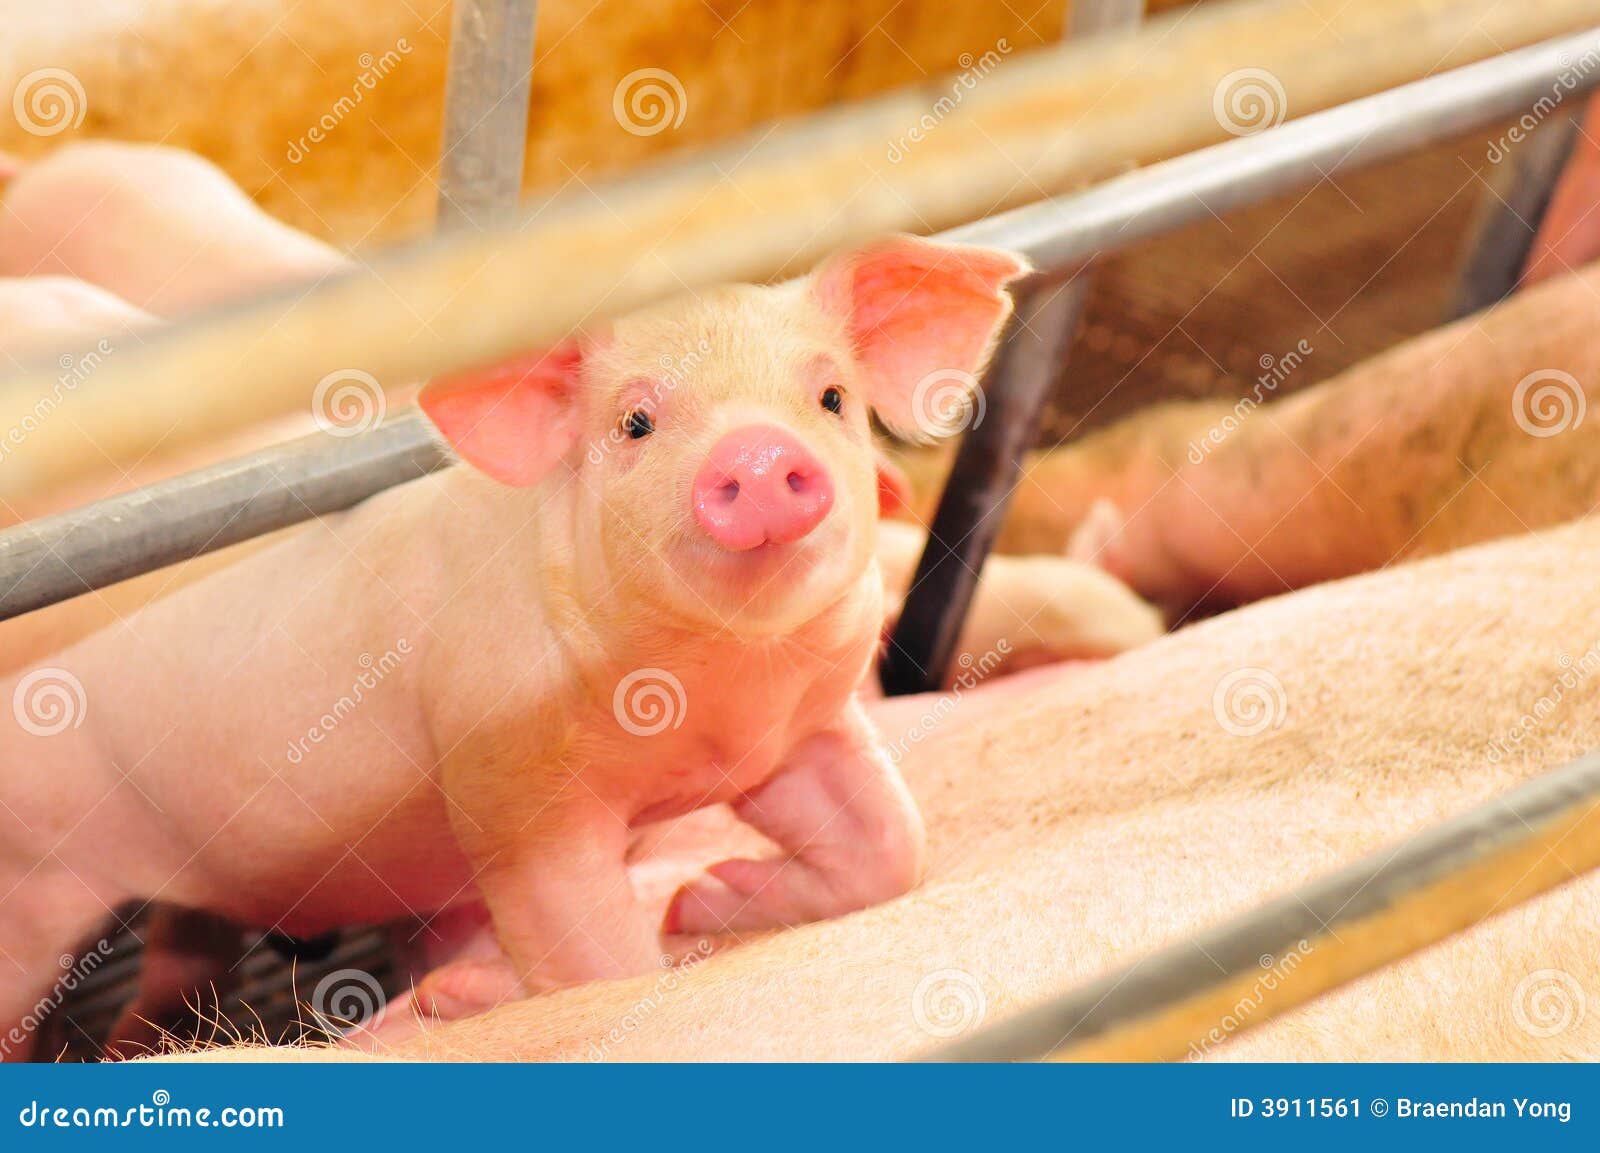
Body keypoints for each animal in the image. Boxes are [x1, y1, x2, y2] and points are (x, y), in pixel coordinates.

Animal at [0, 231, 1030, 1037]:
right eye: (635, 422)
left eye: (831, 399)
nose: (759, 451)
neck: (712, 689)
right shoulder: (514, 795)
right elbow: (604, 967)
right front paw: (663, 932)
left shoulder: (798, 731)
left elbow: (892, 844)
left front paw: (703, 896)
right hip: (38, 887)